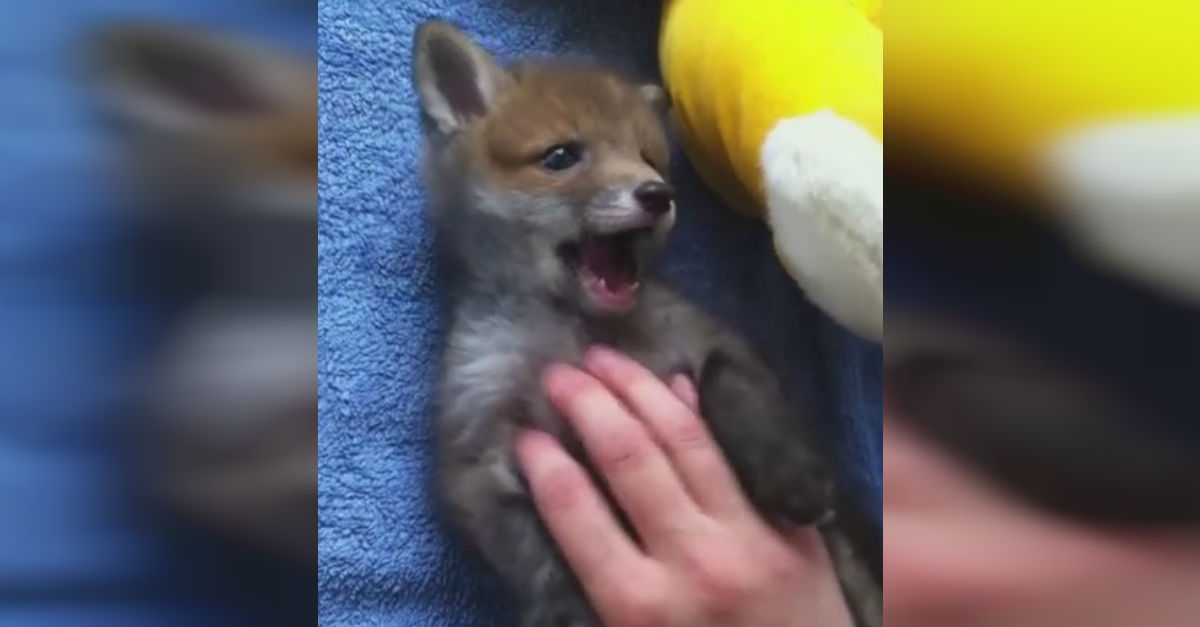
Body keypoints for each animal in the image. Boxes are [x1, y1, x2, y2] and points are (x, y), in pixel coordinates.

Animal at [413, 20, 880, 627]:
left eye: (649, 159)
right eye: (561, 157)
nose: (659, 195)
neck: (572, 329)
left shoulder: (719, 342)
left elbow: (732, 389)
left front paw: (791, 478)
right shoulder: (477, 454)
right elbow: (533, 559)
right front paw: (564, 611)